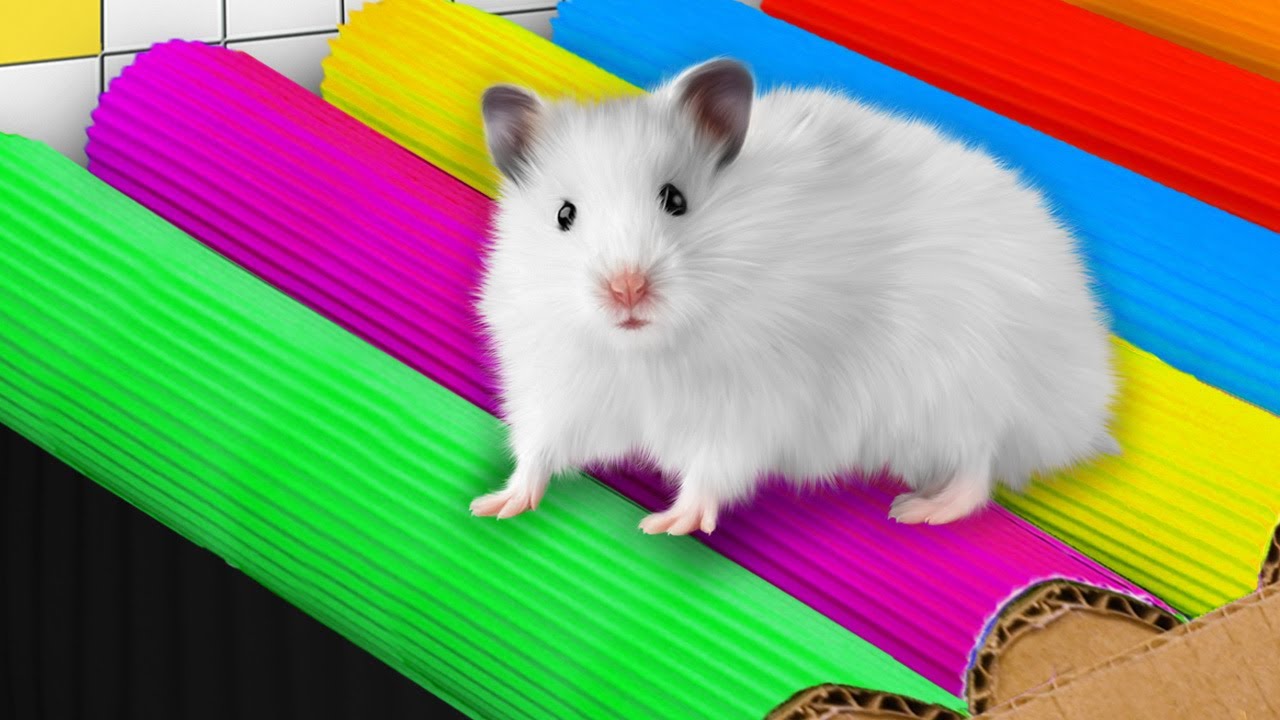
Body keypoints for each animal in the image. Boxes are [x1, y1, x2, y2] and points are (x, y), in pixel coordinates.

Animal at [470, 58, 1118, 535]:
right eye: (564, 214)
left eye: (676, 200)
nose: (626, 288)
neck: (644, 351)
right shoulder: (555, 385)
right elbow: (537, 448)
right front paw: (492, 505)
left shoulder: (748, 405)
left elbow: (712, 470)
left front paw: (665, 525)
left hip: (964, 388)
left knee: (979, 468)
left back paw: (916, 509)